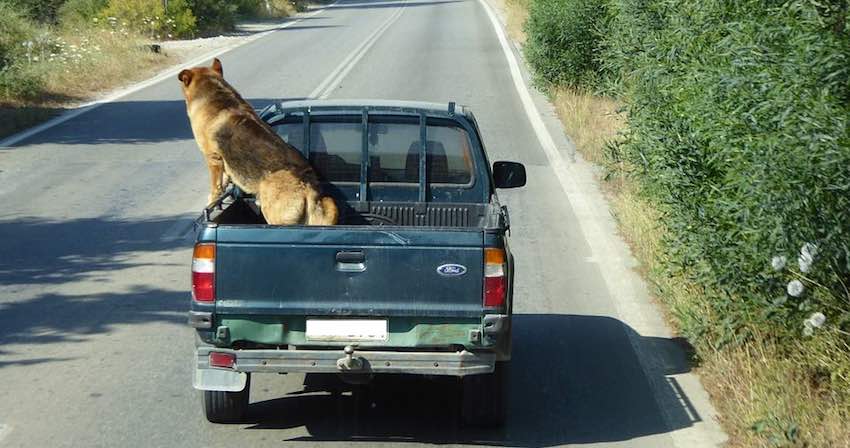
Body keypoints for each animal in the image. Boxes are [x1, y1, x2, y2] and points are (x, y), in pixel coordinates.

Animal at [179, 59, 338, 226]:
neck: (214, 92)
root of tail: (307, 187)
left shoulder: (213, 158)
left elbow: (215, 187)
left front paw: (212, 201)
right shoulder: (223, 163)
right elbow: (224, 180)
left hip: (273, 215)